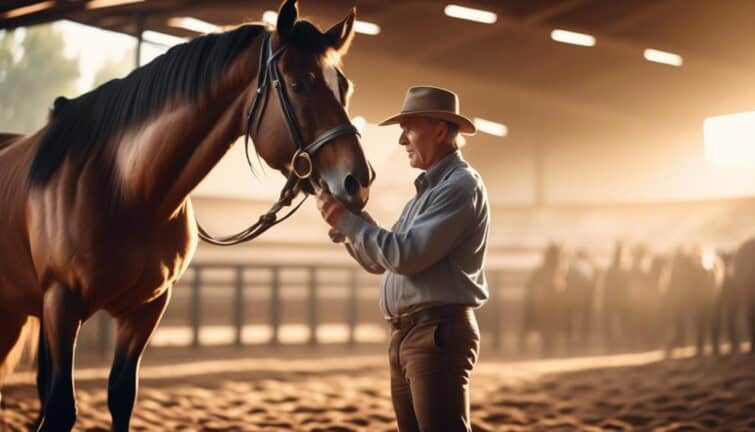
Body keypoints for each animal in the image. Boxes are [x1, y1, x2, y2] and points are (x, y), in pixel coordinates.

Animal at [0, 1, 373, 430]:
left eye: (344, 87)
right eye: (298, 85)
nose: (357, 181)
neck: (124, 190)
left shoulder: (146, 309)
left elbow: (120, 396)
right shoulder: (61, 302)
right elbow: (61, 406)